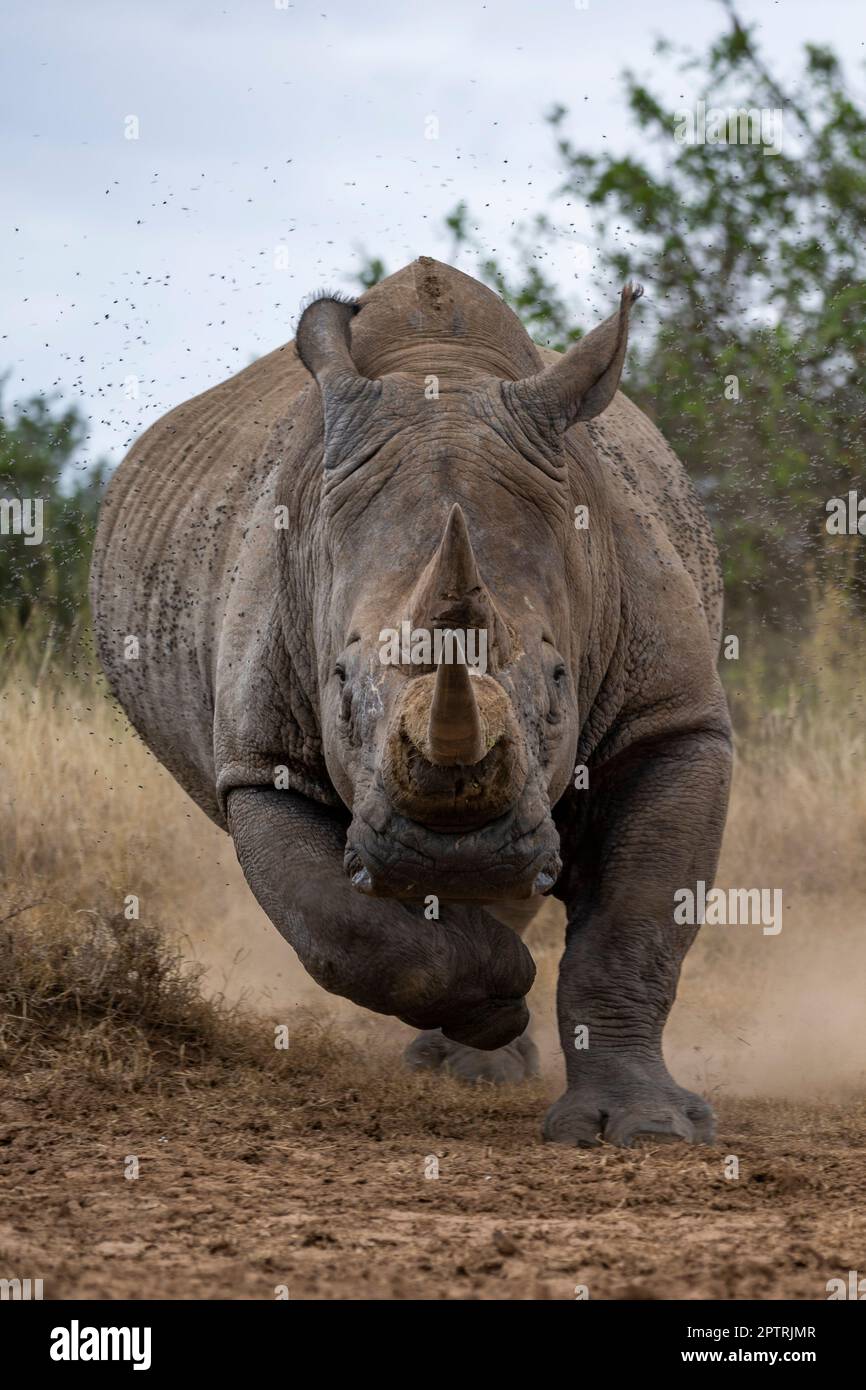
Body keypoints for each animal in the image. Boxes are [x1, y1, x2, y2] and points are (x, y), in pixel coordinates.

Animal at [90, 256, 732, 1146]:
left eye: (559, 683)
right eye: (340, 686)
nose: (450, 852)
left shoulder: (673, 724)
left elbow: (633, 928)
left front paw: (647, 1131)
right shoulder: (262, 762)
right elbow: (348, 932)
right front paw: (497, 995)